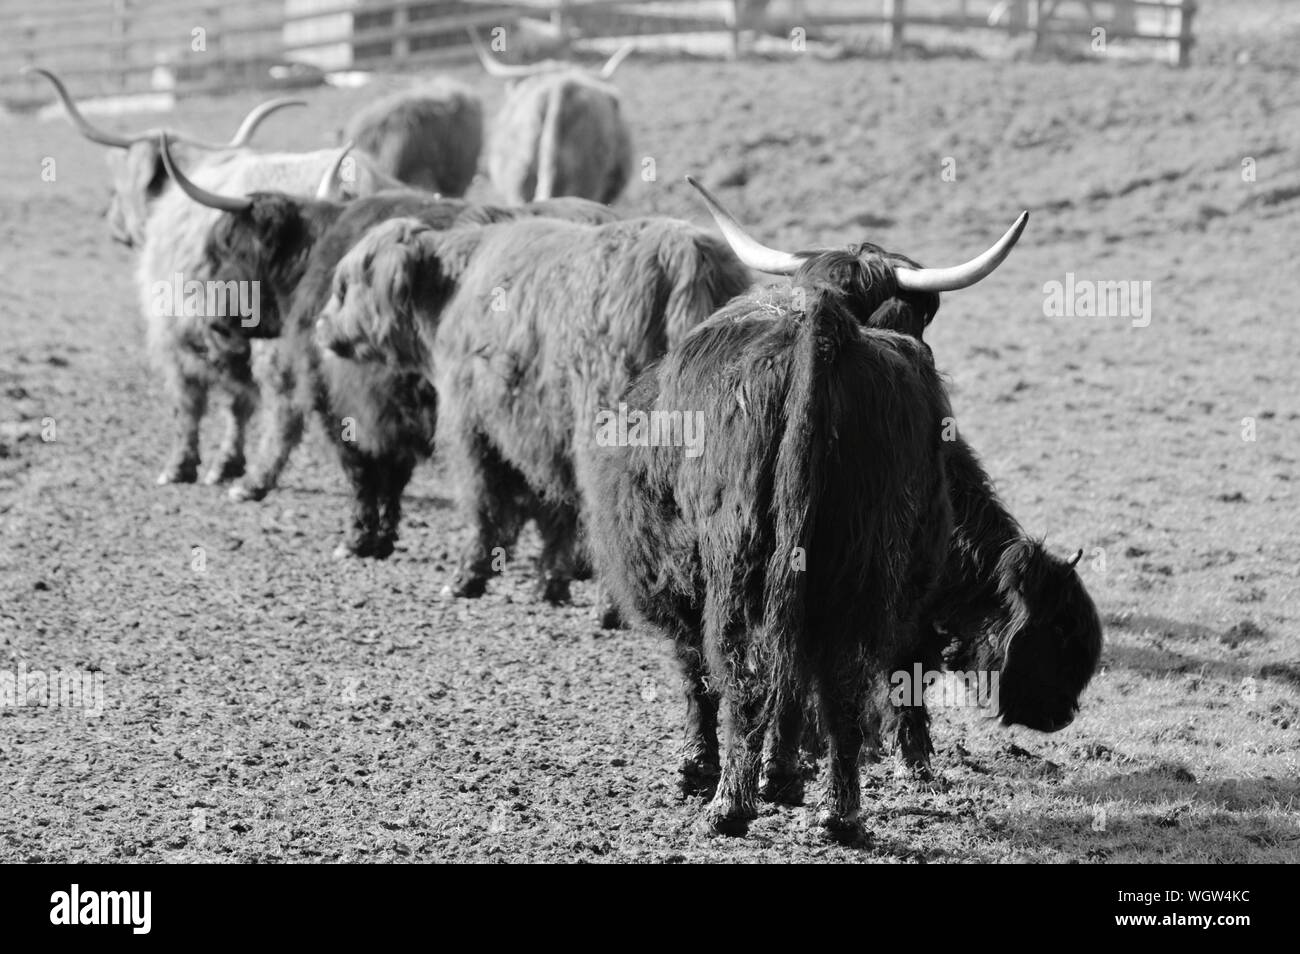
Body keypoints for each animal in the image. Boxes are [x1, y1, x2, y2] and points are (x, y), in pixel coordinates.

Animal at [158, 136, 618, 559]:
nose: (211, 318)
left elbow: (363, 473)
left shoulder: (343, 404)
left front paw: (357, 540)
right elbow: (393, 476)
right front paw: (383, 538)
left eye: (227, 247)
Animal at [315, 212, 752, 596]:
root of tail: (682, 254)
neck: (447, 297)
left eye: (343, 287)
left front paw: (466, 578)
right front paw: (550, 583)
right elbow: (556, 511)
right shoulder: (544, 431)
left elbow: (486, 503)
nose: (320, 325)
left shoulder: (475, 424)